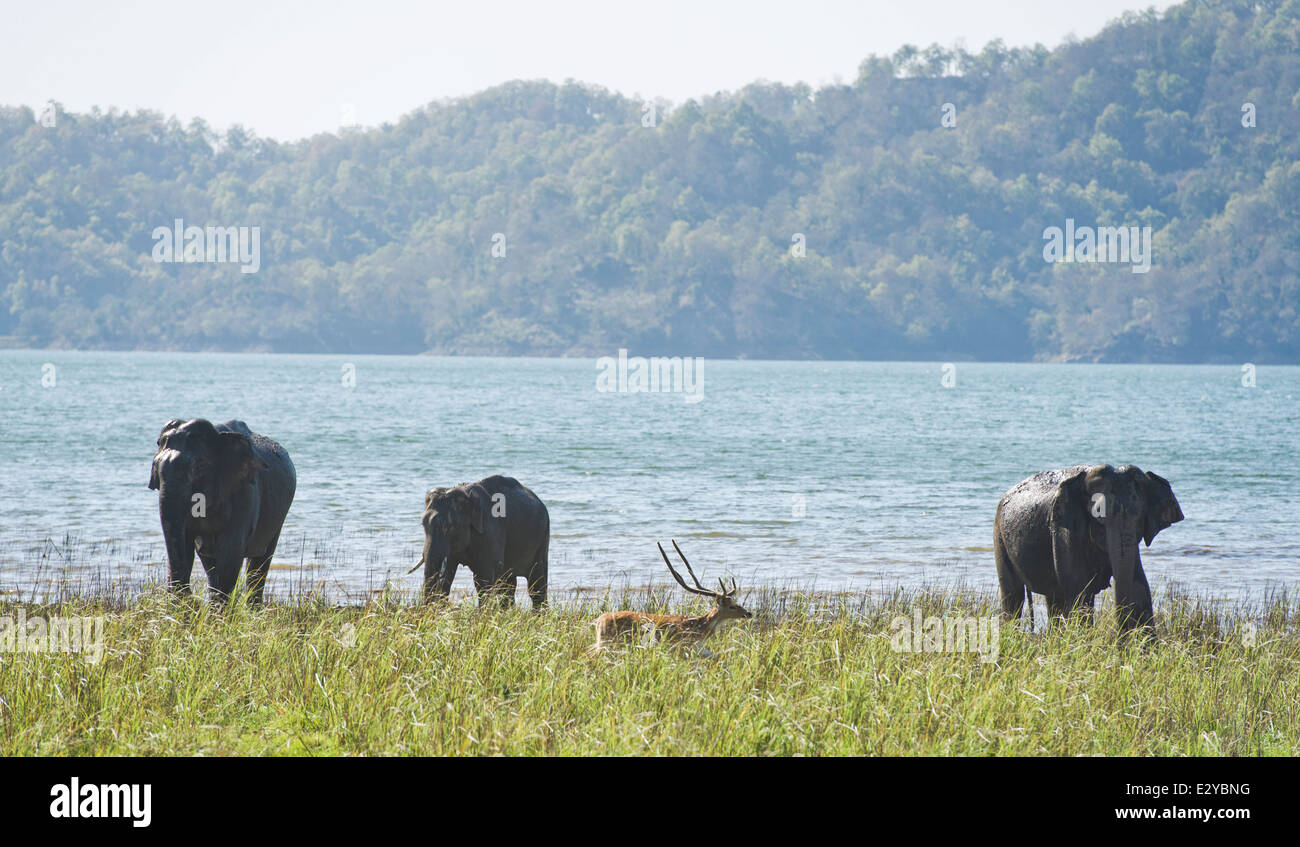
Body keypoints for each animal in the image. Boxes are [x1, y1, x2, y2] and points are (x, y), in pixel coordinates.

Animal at [148, 418, 296, 603]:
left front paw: (219, 610)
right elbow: (187, 542)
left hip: (278, 518)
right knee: (209, 561)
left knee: (260, 561)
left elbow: (230, 551)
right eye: (156, 468)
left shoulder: (245, 493)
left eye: (200, 467)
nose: (190, 596)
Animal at [412, 475, 549, 608]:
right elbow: (447, 575)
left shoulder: (490, 531)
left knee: (536, 585)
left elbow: (484, 578)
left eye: (448, 527)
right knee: (509, 584)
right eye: (423, 525)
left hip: (542, 539)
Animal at [589, 540, 752, 657]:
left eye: (735, 601)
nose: (749, 613)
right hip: (608, 643)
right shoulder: (680, 647)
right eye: (731, 606)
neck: (698, 628)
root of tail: (598, 621)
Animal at [993, 464, 1183, 632]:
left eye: (1140, 517)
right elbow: (1080, 588)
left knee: (1054, 598)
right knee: (1013, 595)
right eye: (1099, 518)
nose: (1120, 640)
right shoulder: (1065, 530)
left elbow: (1140, 587)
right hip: (999, 534)